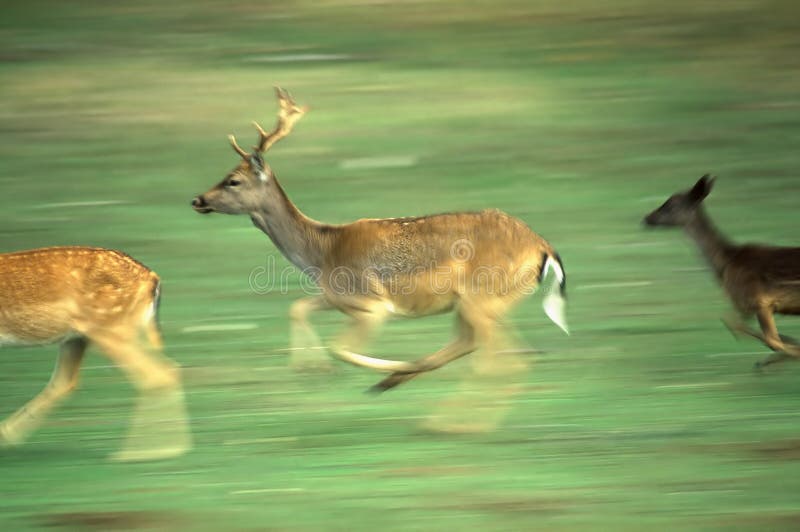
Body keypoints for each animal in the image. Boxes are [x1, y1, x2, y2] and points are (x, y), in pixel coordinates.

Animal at [0, 246, 191, 461]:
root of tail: (153, 279)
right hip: (85, 336)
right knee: (64, 382)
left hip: (109, 328)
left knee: (156, 374)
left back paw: (140, 453)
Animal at [191, 88, 568, 395]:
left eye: (233, 180)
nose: (197, 199)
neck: (322, 252)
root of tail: (543, 247)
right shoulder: (335, 295)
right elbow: (297, 307)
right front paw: (310, 367)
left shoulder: (371, 302)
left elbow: (340, 347)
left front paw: (380, 366)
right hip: (481, 301)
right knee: (473, 343)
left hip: (483, 293)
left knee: (494, 356)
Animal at [644, 175, 800, 369]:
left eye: (670, 204)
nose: (647, 218)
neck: (724, 265)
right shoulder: (749, 305)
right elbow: (735, 324)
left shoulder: (757, 299)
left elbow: (762, 336)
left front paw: (772, 359)